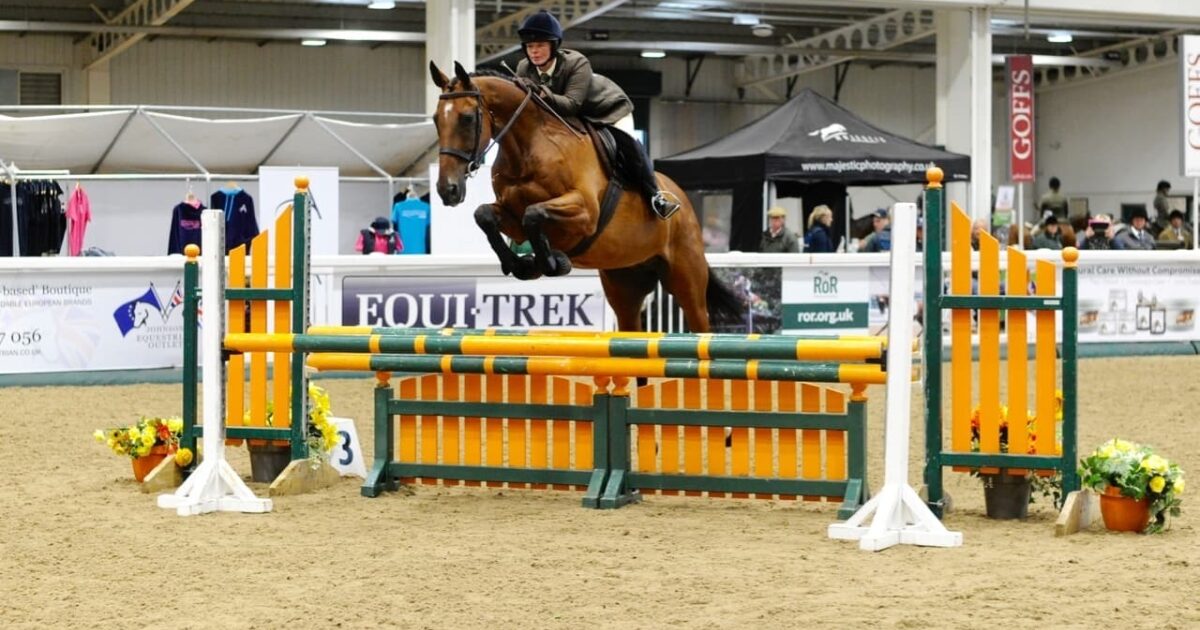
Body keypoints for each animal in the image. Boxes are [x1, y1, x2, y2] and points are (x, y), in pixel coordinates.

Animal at [429, 61, 741, 332]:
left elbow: (534, 214)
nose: (447, 189)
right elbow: (485, 215)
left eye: (467, 118)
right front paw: (520, 264)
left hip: (686, 278)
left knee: (699, 320)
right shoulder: (511, 218)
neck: (530, 148)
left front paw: (549, 262)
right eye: (435, 120)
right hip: (624, 282)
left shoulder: (585, 213)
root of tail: (682, 200)